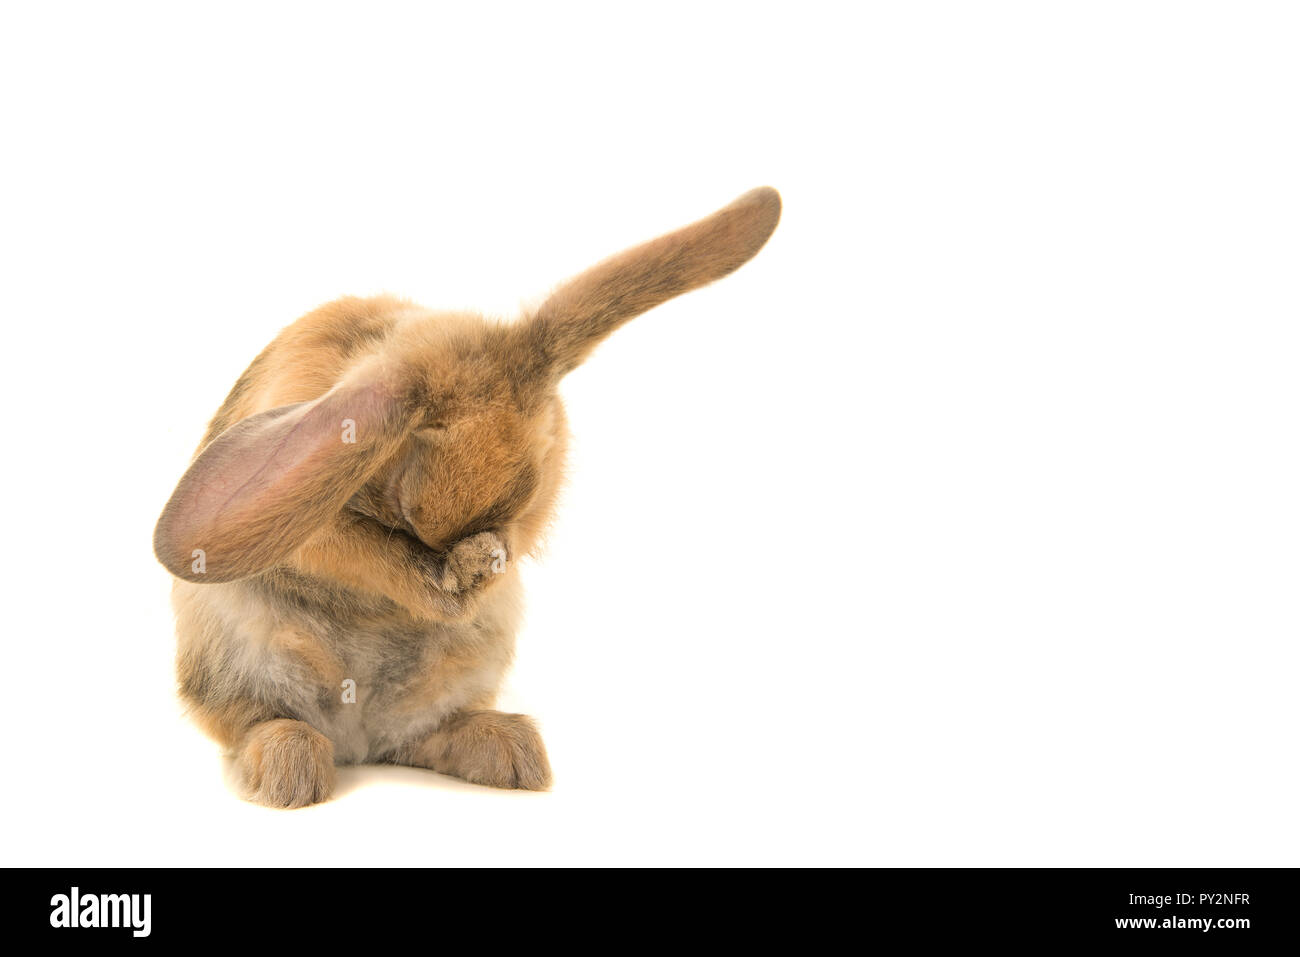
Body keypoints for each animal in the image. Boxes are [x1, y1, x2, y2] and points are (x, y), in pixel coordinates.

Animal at [153, 186, 782, 807]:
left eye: (533, 477)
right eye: (405, 502)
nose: (468, 548)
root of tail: (357, 742)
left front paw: (487, 560)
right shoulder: (320, 531)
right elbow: (361, 550)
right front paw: (452, 584)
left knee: (421, 737)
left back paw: (510, 752)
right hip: (238, 667)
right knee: (262, 723)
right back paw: (290, 769)